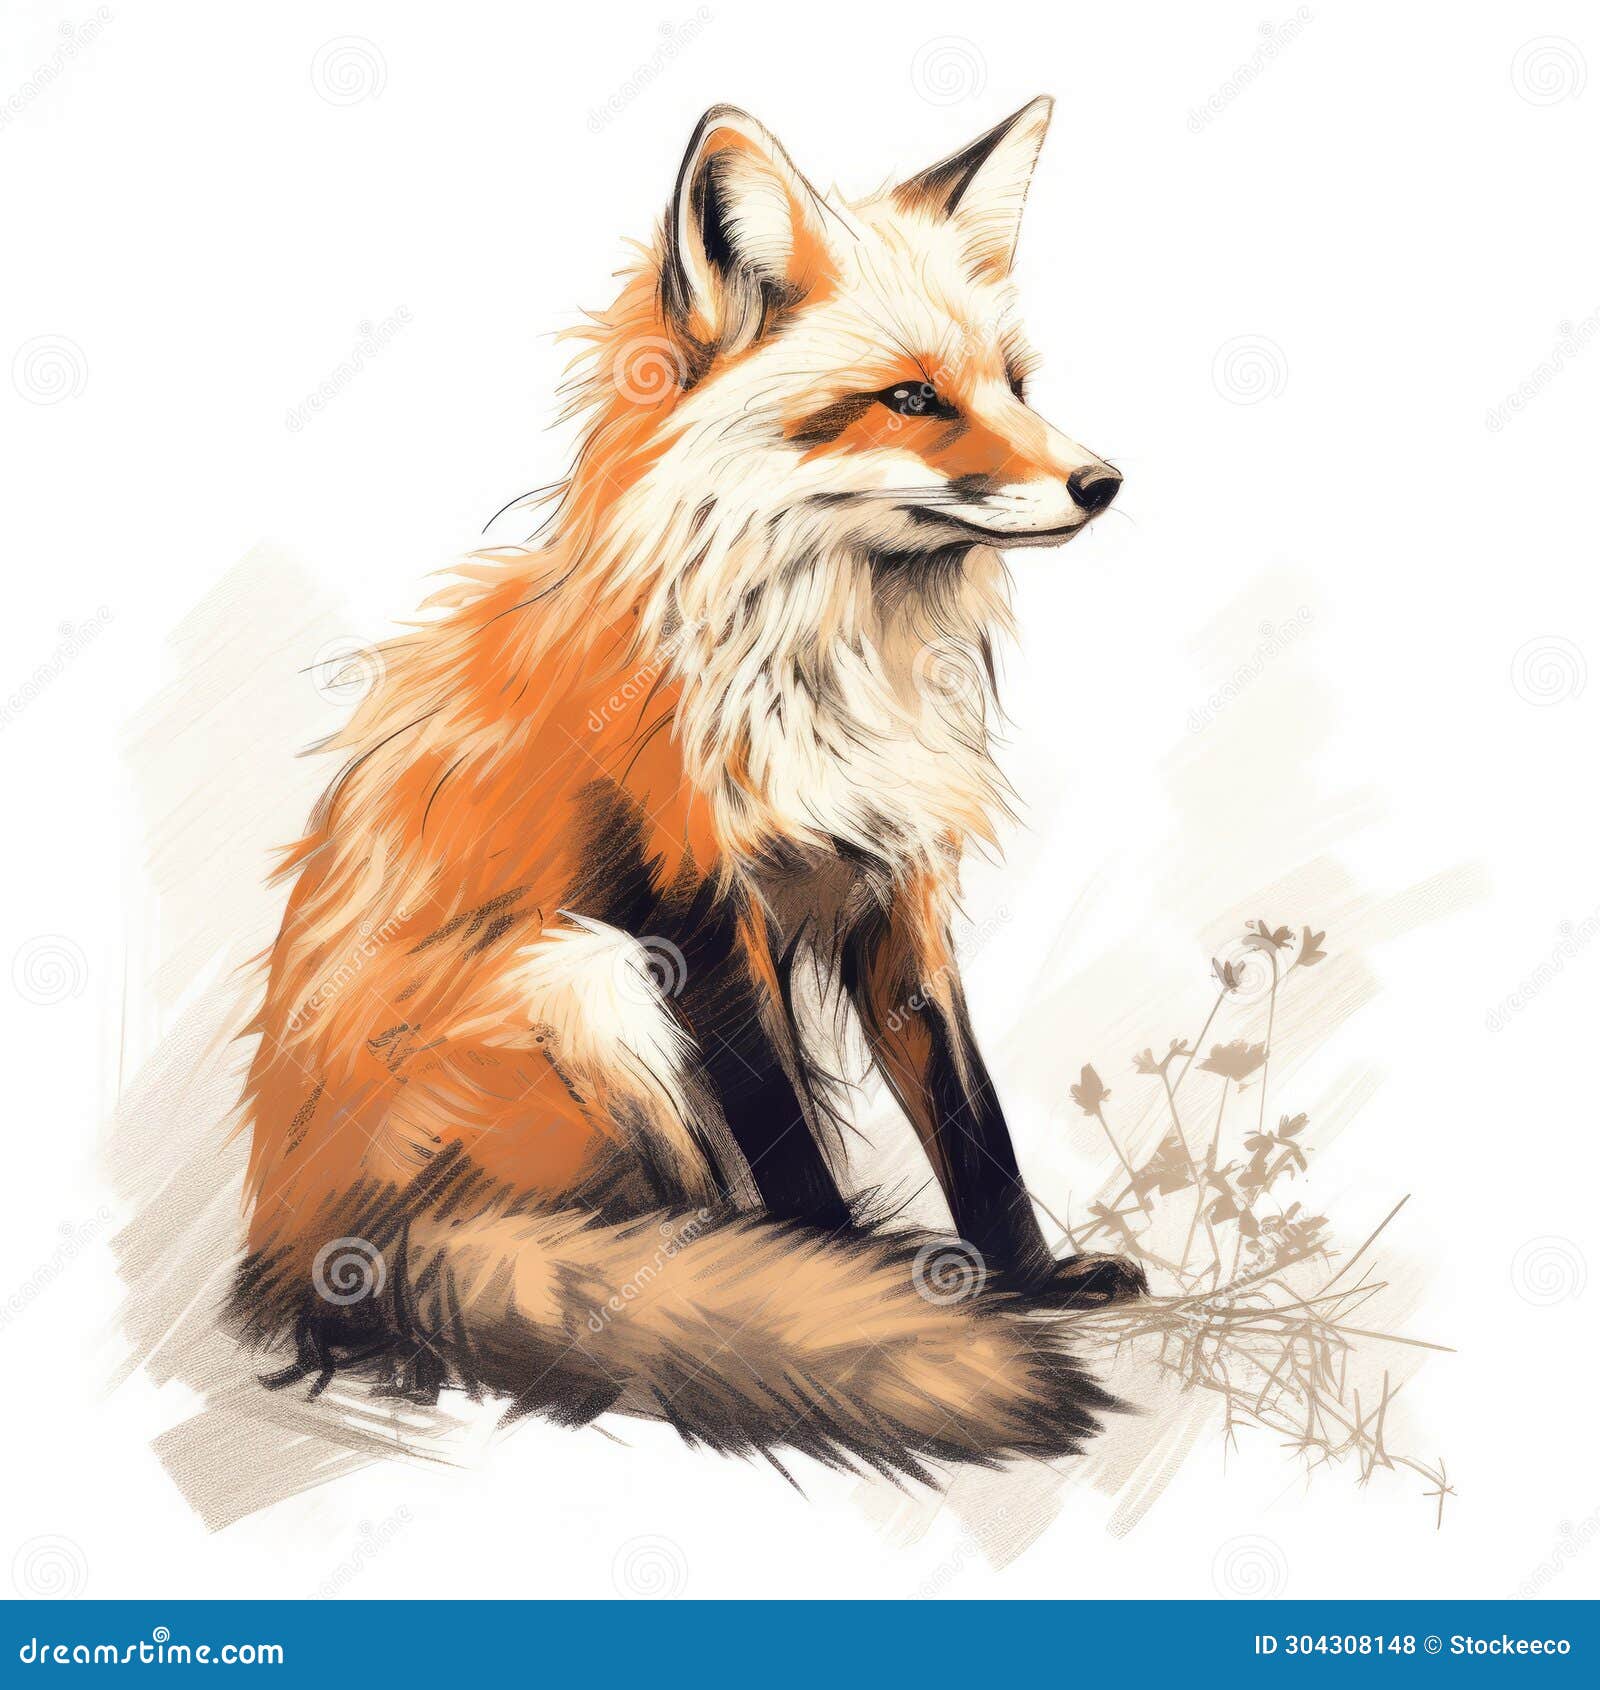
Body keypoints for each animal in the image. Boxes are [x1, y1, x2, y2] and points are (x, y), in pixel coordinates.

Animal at [231, 96, 1145, 1484]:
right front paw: (848, 1284)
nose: (1102, 482)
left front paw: (1030, 1280)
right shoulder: (693, 904)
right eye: (910, 398)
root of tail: (309, 1244)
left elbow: (971, 1118)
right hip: (581, 976)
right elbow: (788, 1143)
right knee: (621, 1243)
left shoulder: (893, 884)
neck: (822, 664)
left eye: (1015, 386)